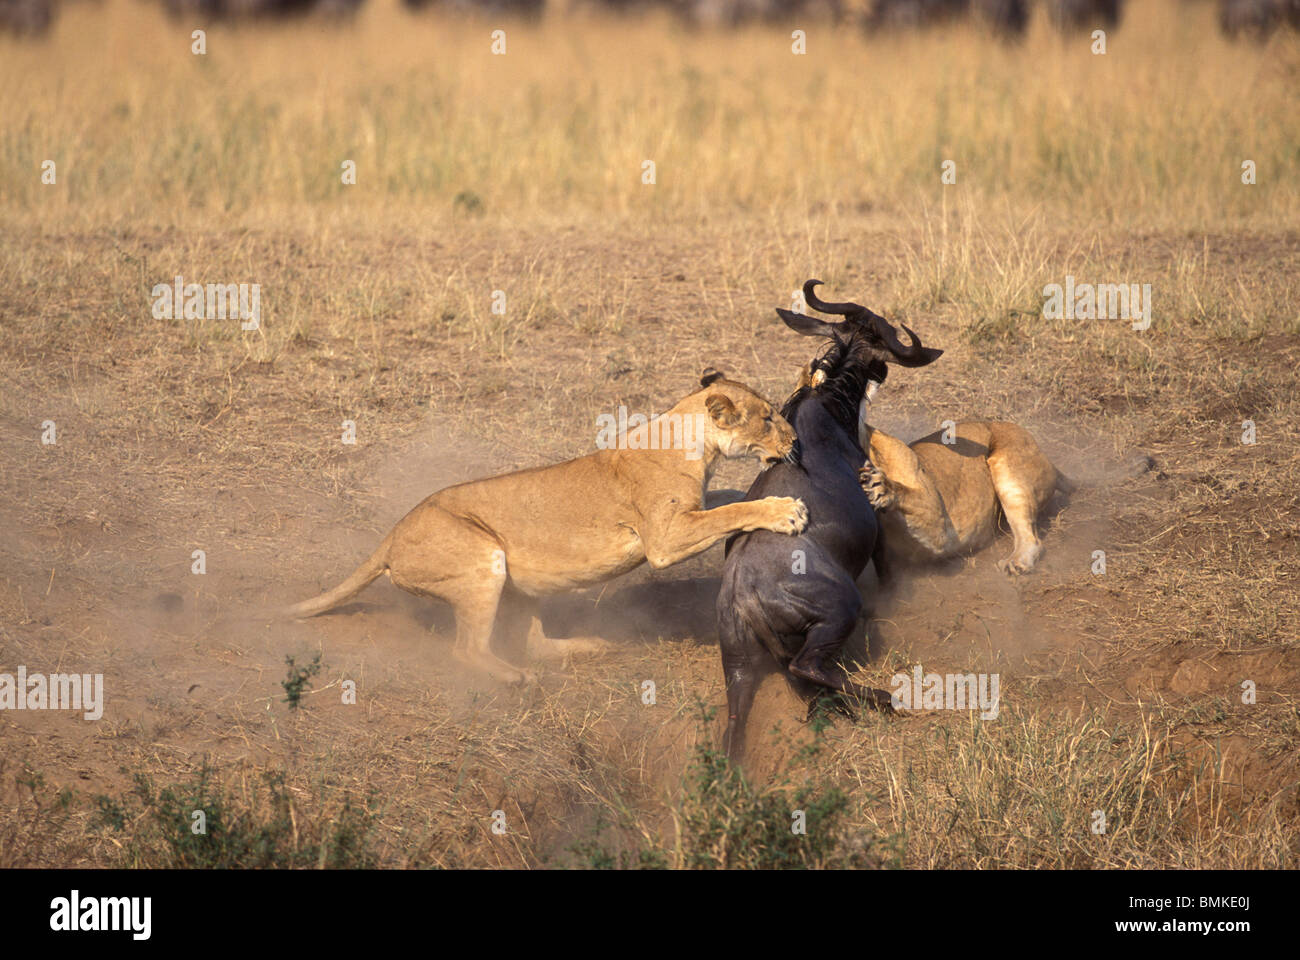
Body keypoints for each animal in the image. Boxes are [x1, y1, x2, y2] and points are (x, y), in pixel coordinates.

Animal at [283, 368, 809, 683]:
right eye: (768, 418)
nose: (795, 439)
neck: (694, 442)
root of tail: (392, 532)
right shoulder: (663, 539)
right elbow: (726, 513)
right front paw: (785, 511)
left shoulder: (688, 512)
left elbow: (725, 501)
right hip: (483, 557)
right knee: (466, 651)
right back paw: (514, 678)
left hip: (520, 582)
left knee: (532, 642)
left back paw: (590, 647)